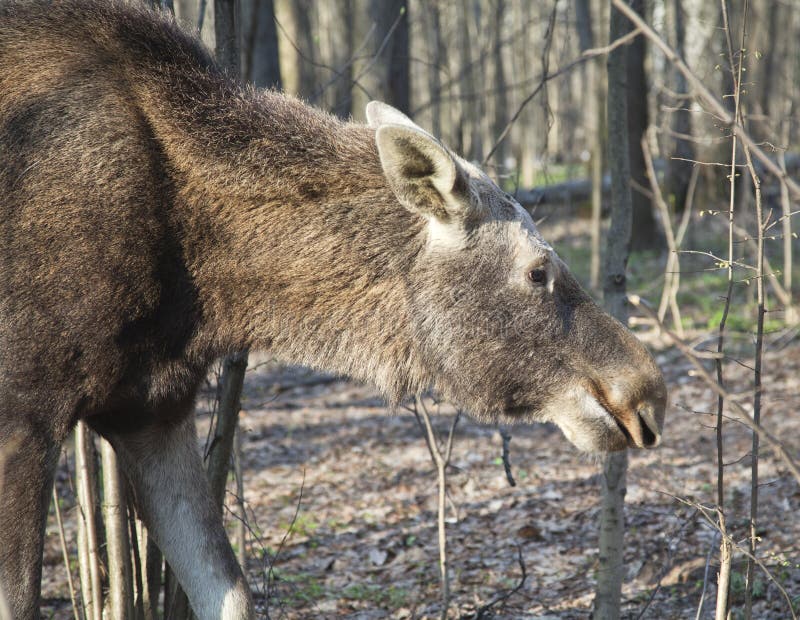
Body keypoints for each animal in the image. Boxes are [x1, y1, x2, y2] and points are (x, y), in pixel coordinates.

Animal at [0, 1, 667, 618]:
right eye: (536, 270)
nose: (648, 391)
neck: (207, 289)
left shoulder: (153, 409)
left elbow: (230, 592)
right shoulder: (25, 415)